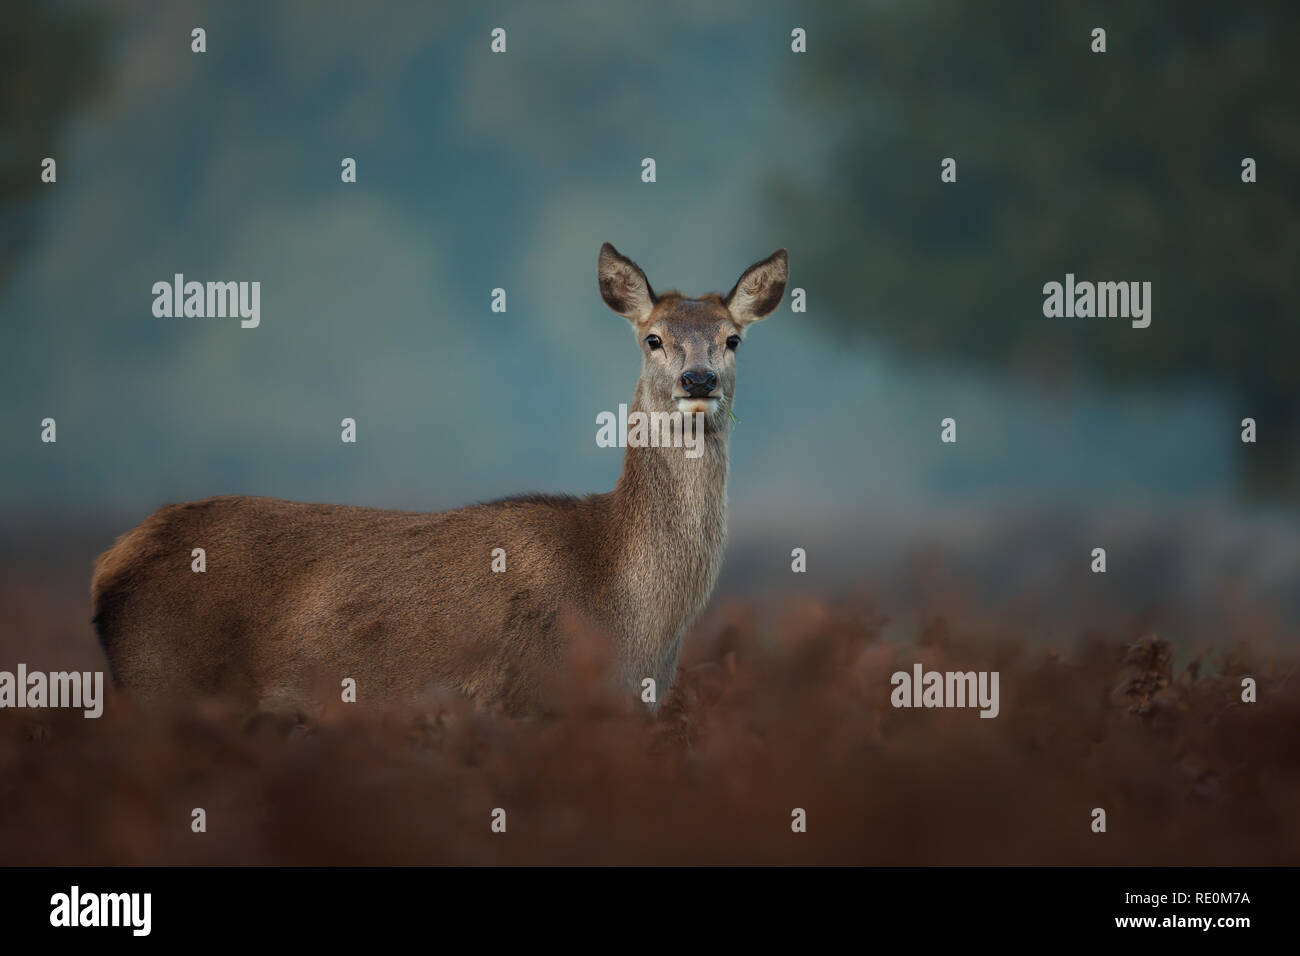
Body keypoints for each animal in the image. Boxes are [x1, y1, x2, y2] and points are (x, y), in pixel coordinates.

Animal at [91, 243, 788, 716]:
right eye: (653, 338)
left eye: (732, 339)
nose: (698, 380)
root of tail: (108, 564)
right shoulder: (521, 700)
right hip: (164, 684)